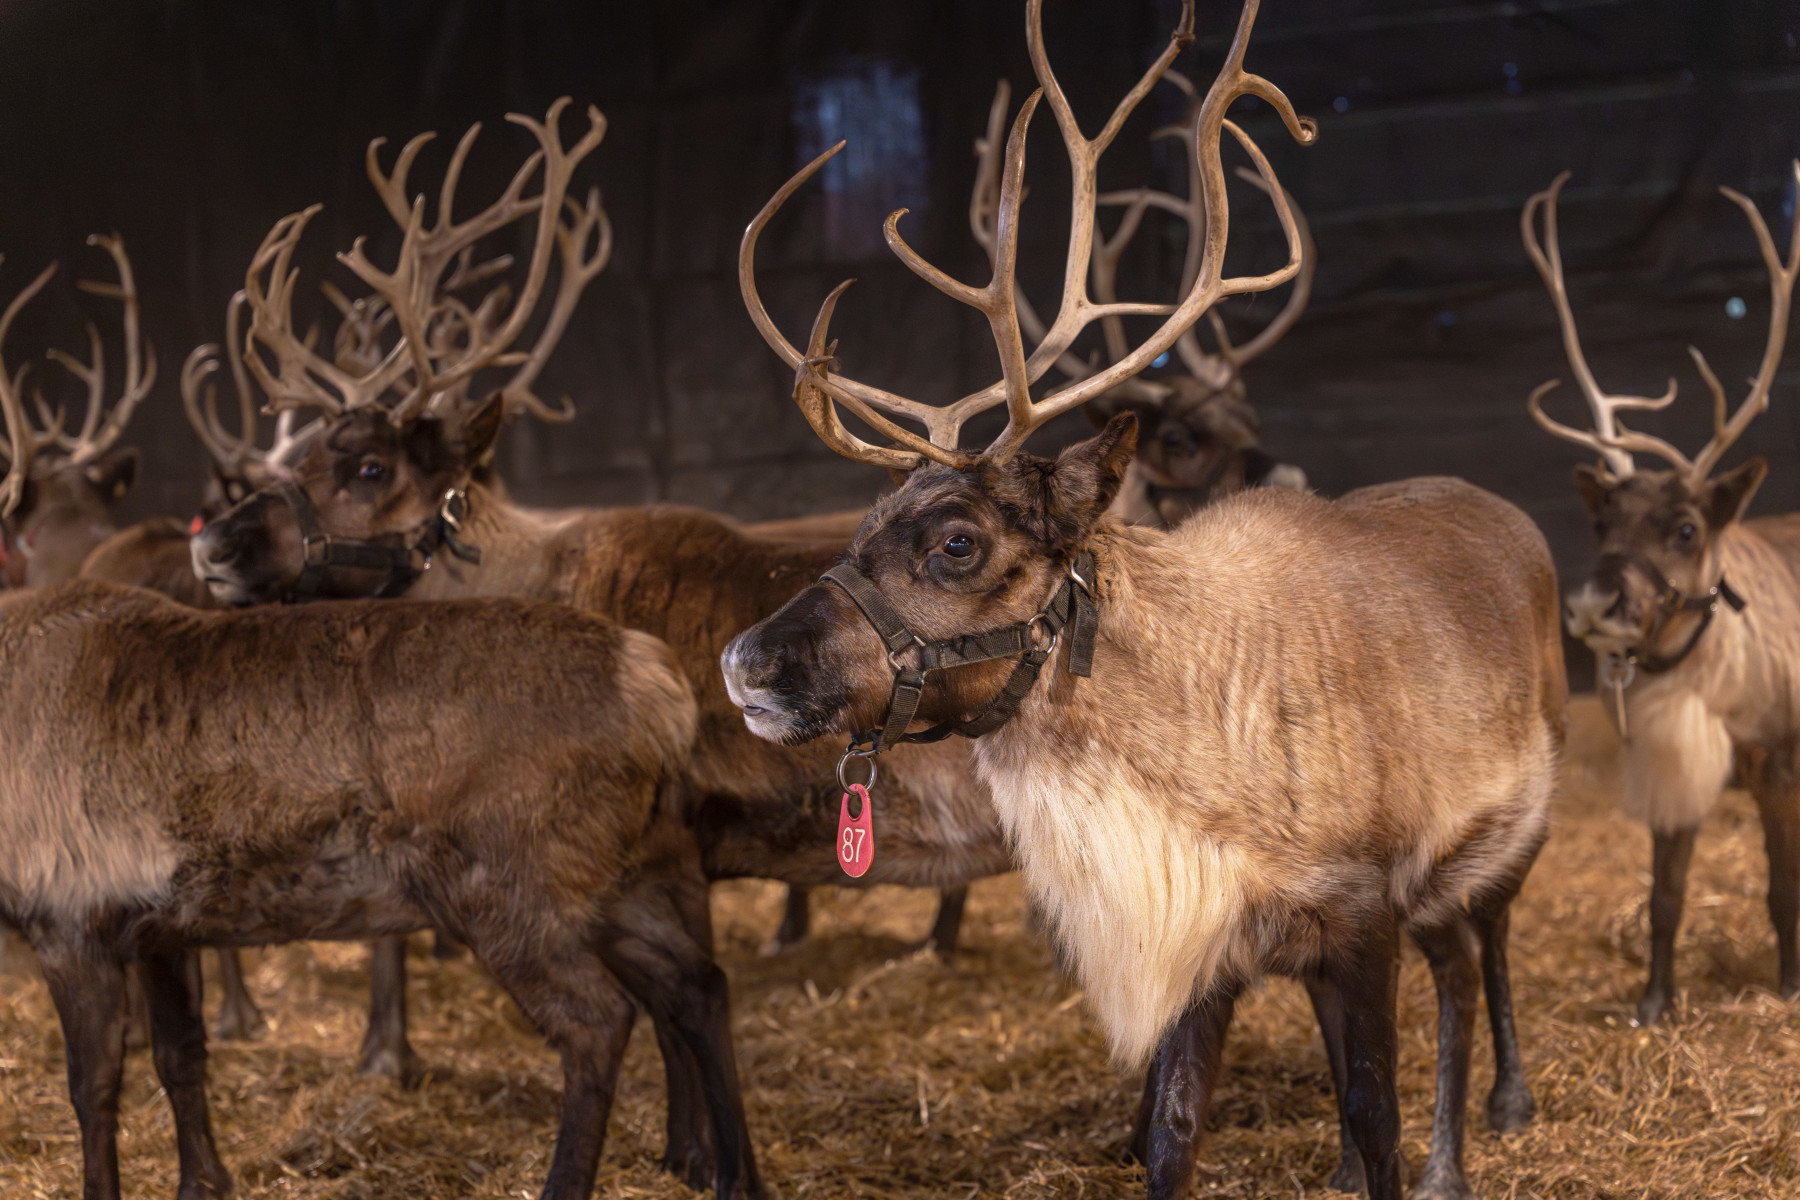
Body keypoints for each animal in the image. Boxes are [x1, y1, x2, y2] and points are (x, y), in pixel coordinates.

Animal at [1523, 165, 1800, 1027]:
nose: (1594, 603)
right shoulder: (1672, 773)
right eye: (1602, 517)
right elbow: (1665, 898)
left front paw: (1789, 987)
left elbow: (1782, 889)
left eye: (1684, 527)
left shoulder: (1780, 766)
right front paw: (1653, 1002)